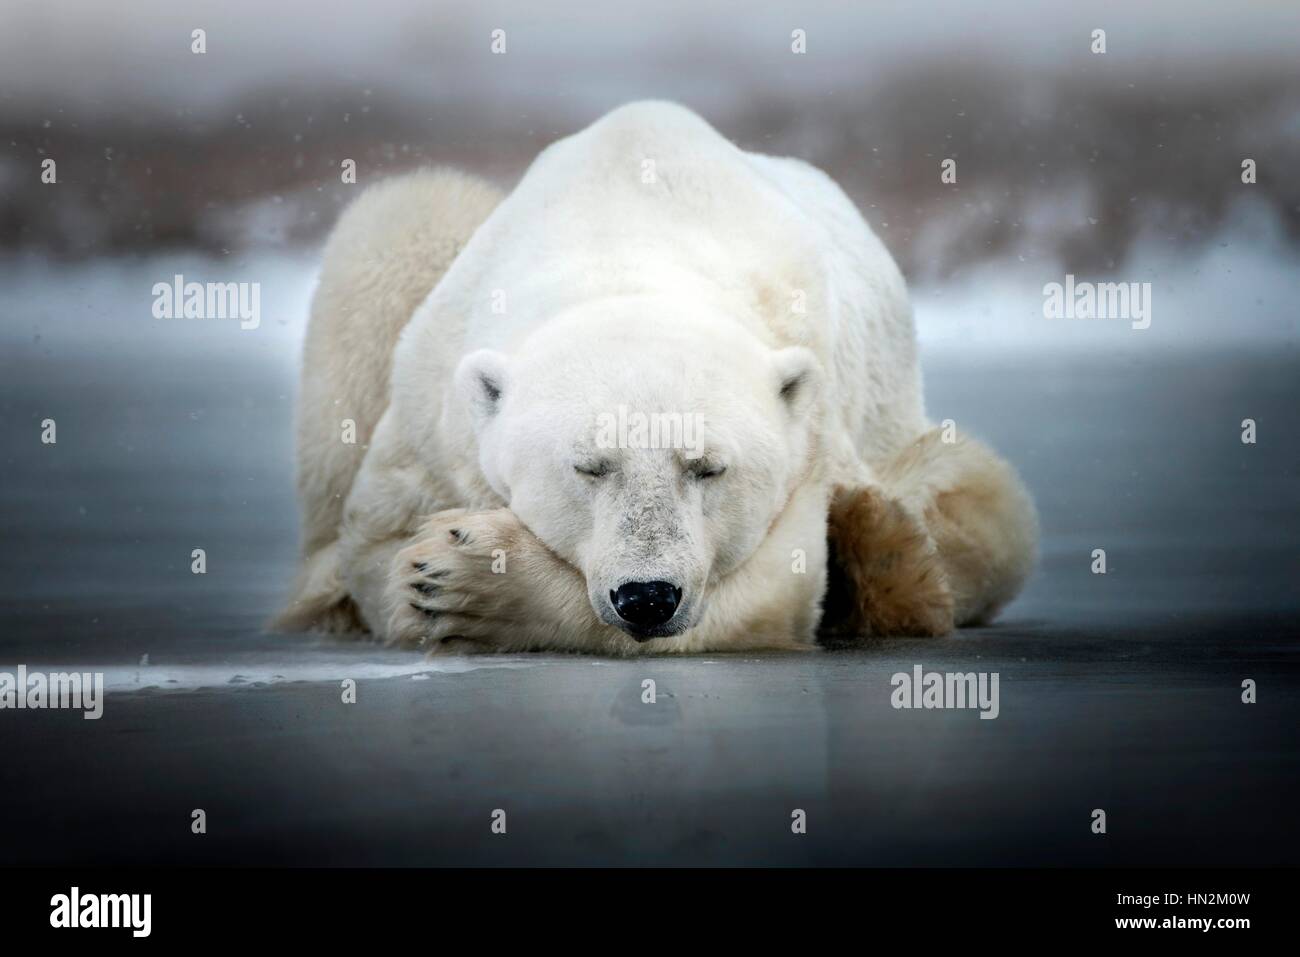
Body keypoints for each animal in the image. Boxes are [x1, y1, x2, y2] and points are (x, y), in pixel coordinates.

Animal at [273, 100, 1037, 654]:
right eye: (588, 466)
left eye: (708, 468)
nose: (647, 595)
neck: (625, 239)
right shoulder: (435, 420)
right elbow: (376, 546)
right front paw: (434, 570)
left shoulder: (810, 432)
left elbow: (777, 589)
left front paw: (467, 578)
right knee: (407, 211)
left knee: (977, 503)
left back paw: (883, 553)